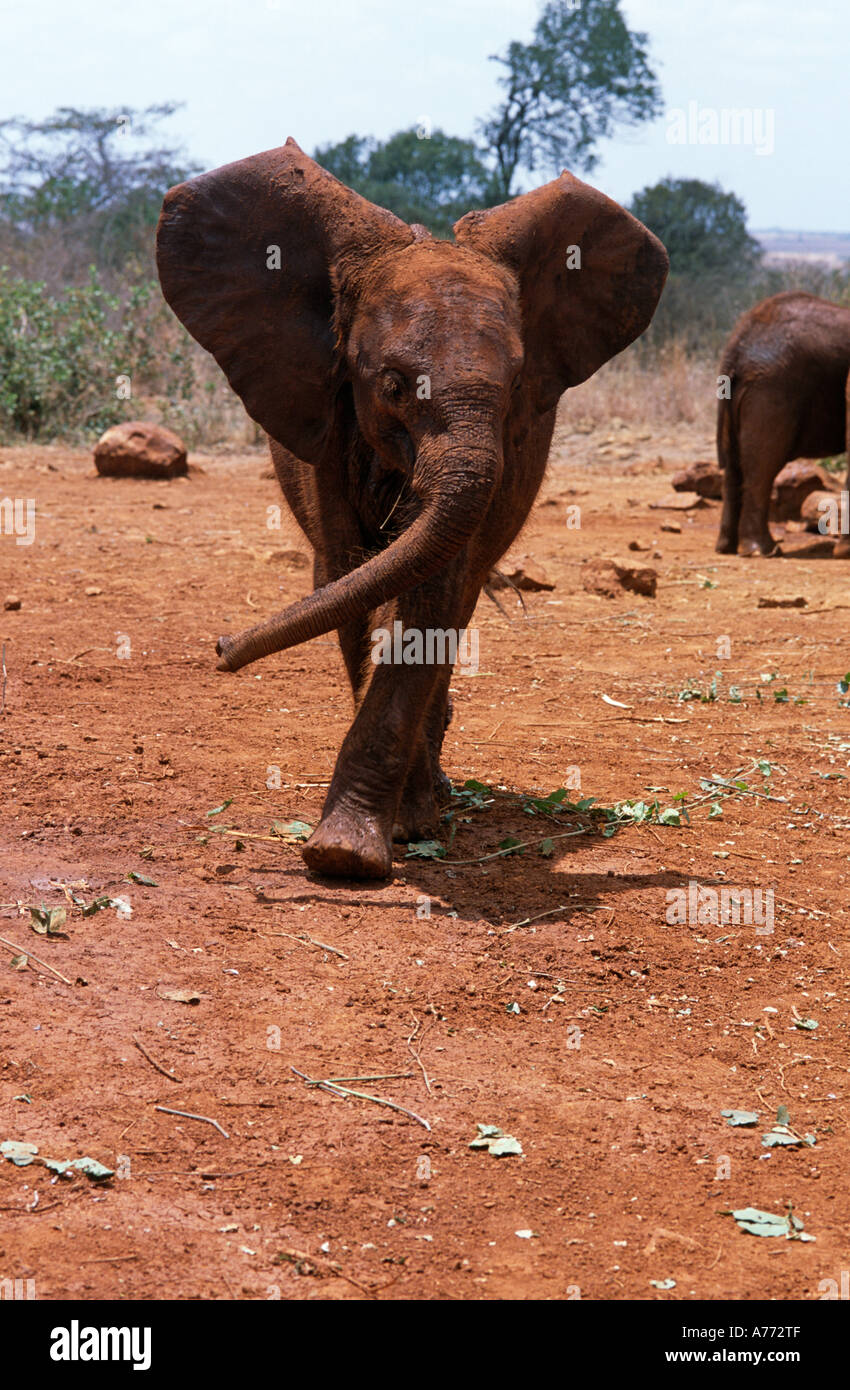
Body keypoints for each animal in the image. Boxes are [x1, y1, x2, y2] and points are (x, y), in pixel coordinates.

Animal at [156, 139, 668, 879]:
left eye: (518, 384)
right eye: (393, 385)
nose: (223, 649)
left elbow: (430, 588)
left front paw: (356, 849)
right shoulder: (327, 428)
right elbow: (357, 579)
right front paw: (362, 847)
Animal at [716, 292, 850, 556]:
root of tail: (738, 348)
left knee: (734, 465)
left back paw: (727, 548)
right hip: (773, 392)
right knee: (763, 465)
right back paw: (762, 551)